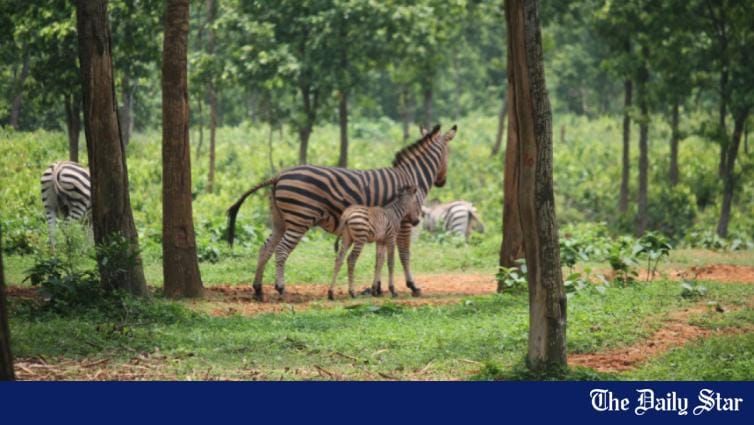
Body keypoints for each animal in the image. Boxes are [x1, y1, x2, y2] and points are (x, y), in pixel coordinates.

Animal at [226, 124, 457, 300]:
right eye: (448, 155)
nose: (443, 181)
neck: (411, 176)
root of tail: (279, 176)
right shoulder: (405, 223)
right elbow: (404, 255)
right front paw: (412, 286)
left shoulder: (383, 226)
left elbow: (380, 257)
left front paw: (377, 288)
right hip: (300, 219)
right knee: (281, 251)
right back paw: (281, 288)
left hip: (279, 220)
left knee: (265, 249)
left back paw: (258, 289)